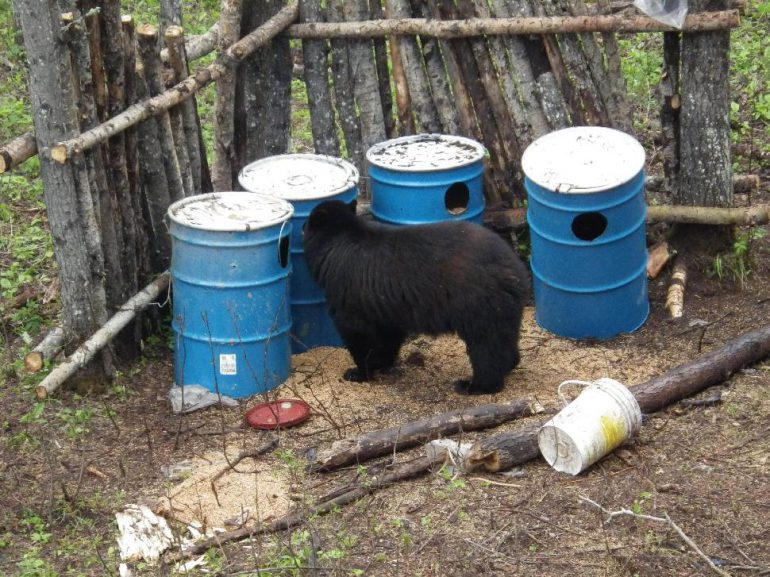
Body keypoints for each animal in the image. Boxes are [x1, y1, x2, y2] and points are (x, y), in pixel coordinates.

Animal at [302, 200, 530, 395]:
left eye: (306, 224)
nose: (301, 225)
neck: (337, 243)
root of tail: (515, 270)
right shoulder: (383, 301)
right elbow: (388, 332)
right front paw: (382, 363)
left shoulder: (347, 288)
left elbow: (357, 331)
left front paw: (358, 373)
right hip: (501, 308)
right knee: (503, 337)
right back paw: (510, 364)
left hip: (479, 302)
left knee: (485, 345)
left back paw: (474, 385)